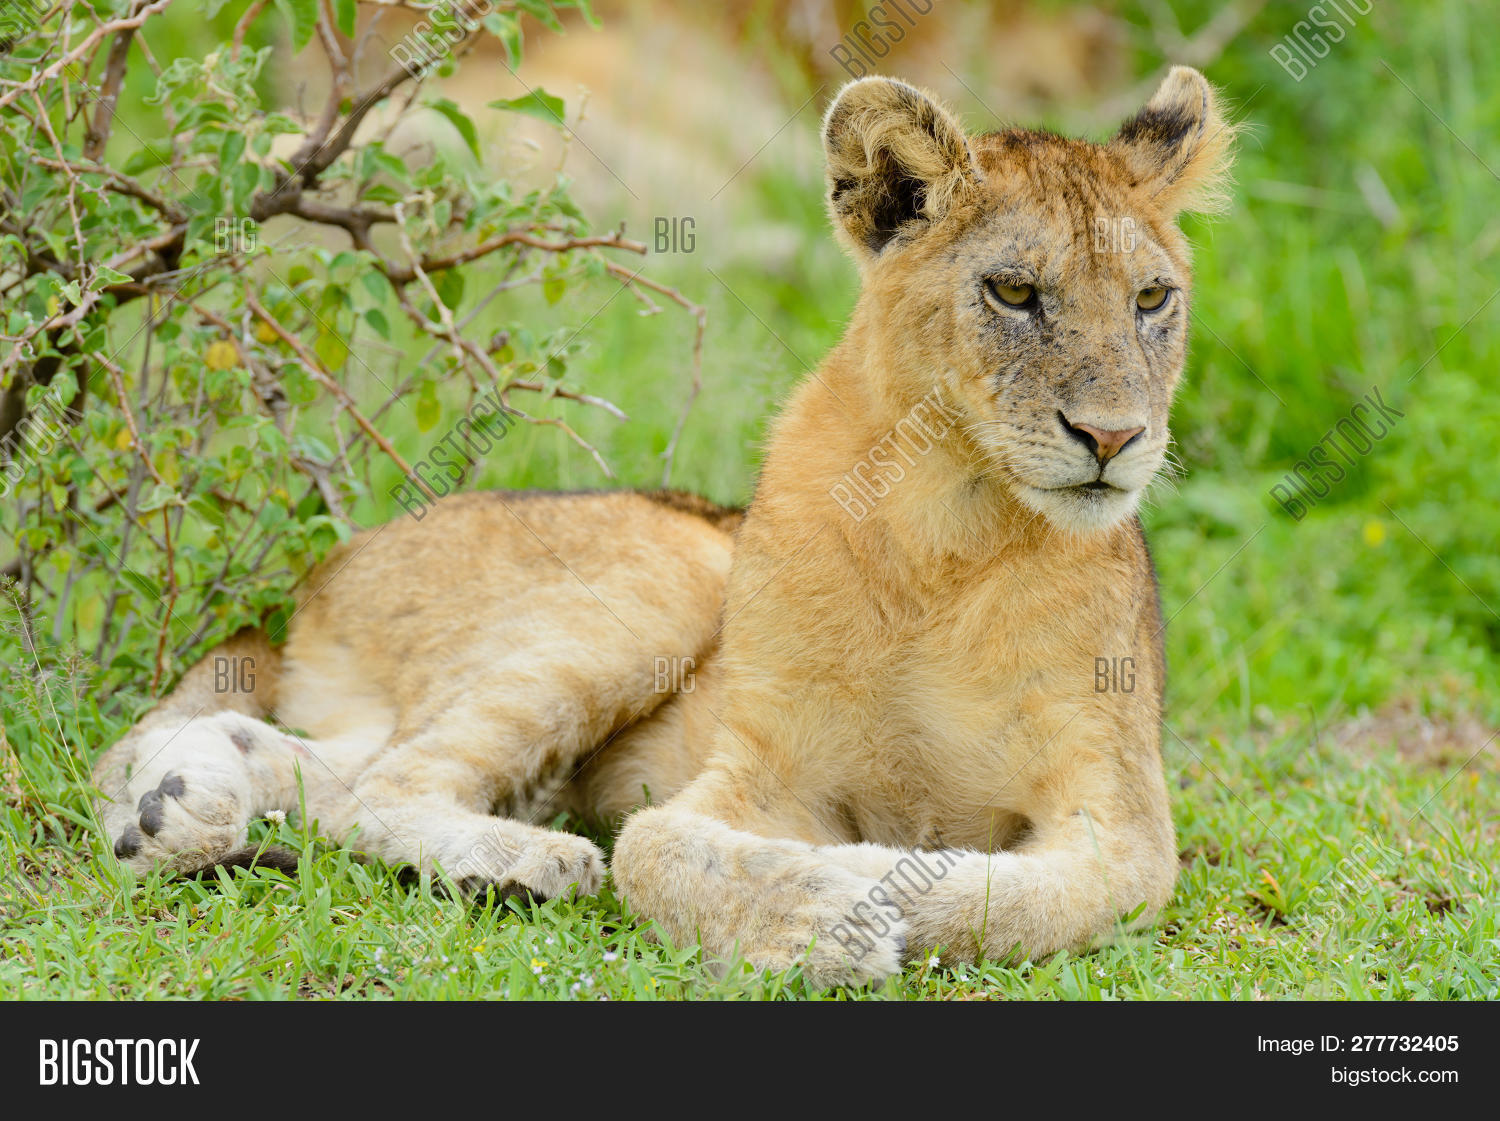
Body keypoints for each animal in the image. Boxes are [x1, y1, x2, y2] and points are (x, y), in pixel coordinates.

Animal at [92, 67, 1233, 987]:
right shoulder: (758, 770)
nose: (1114, 435)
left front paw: (876, 887)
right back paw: (522, 863)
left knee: (311, 758)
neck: (944, 523)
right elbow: (653, 843)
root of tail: (331, 565)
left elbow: (1020, 888)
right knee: (380, 785)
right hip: (669, 573)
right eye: (1013, 290)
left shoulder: (1122, 823)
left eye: (1151, 299)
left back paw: (172, 806)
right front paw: (827, 906)